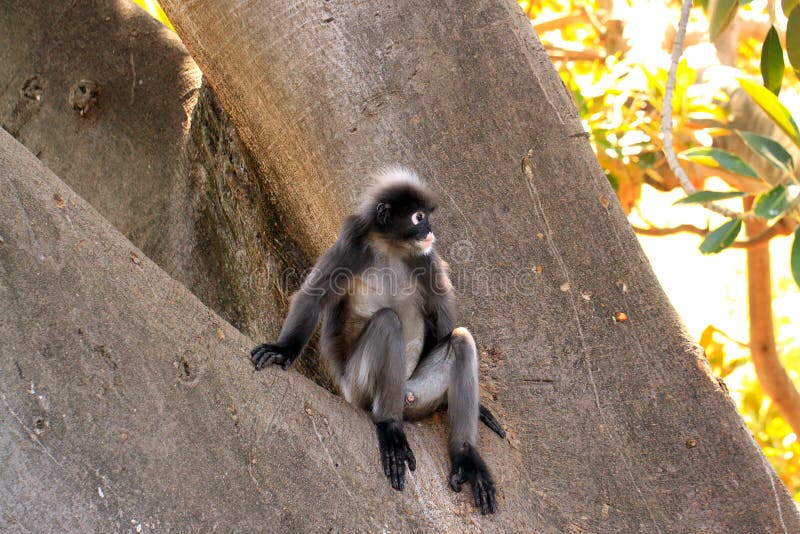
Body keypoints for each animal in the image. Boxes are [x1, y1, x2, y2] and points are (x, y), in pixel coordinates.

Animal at [250, 167, 504, 514]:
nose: (430, 230)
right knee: (387, 322)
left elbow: (442, 326)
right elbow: (312, 297)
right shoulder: (351, 248)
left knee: (461, 339)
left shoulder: (426, 259)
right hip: (359, 388)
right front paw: (282, 349)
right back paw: (389, 426)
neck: (391, 248)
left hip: (421, 393)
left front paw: (480, 411)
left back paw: (465, 455)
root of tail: (404, 397)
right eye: (418, 216)